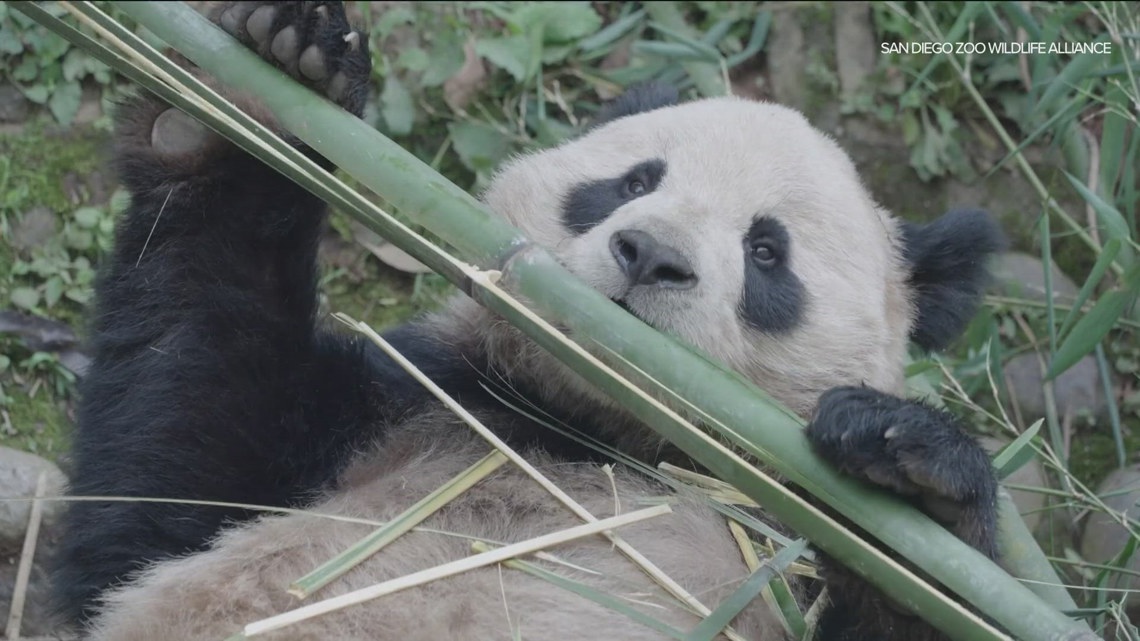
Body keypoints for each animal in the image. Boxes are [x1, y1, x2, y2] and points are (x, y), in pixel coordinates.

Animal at [51, 2, 1006, 640]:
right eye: (632, 181)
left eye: (768, 251)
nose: (649, 254)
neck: (596, 434)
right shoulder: (419, 403)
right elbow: (161, 487)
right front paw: (251, 87)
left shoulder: (774, 559)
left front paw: (910, 467)